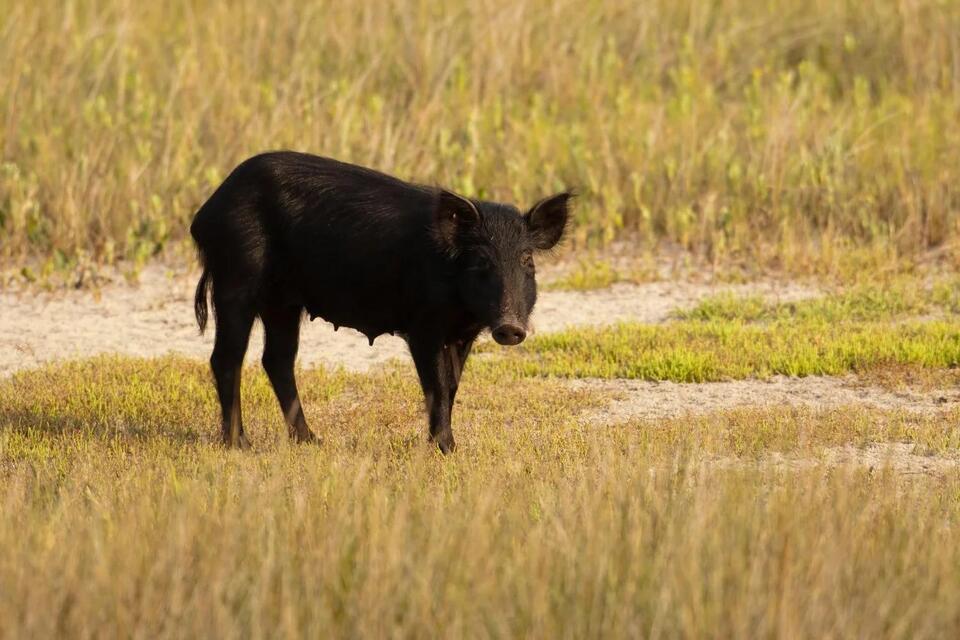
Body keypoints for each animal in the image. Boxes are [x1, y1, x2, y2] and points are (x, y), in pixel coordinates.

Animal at [190, 152, 571, 453]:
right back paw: (241, 445)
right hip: (236, 280)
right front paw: (446, 449)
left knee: (277, 359)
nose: (510, 327)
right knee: (226, 358)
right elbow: (435, 385)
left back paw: (312, 440)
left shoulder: (463, 333)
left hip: (282, 302)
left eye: (527, 260)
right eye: (481, 262)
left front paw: (446, 446)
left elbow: (452, 385)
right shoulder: (423, 326)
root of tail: (204, 214)